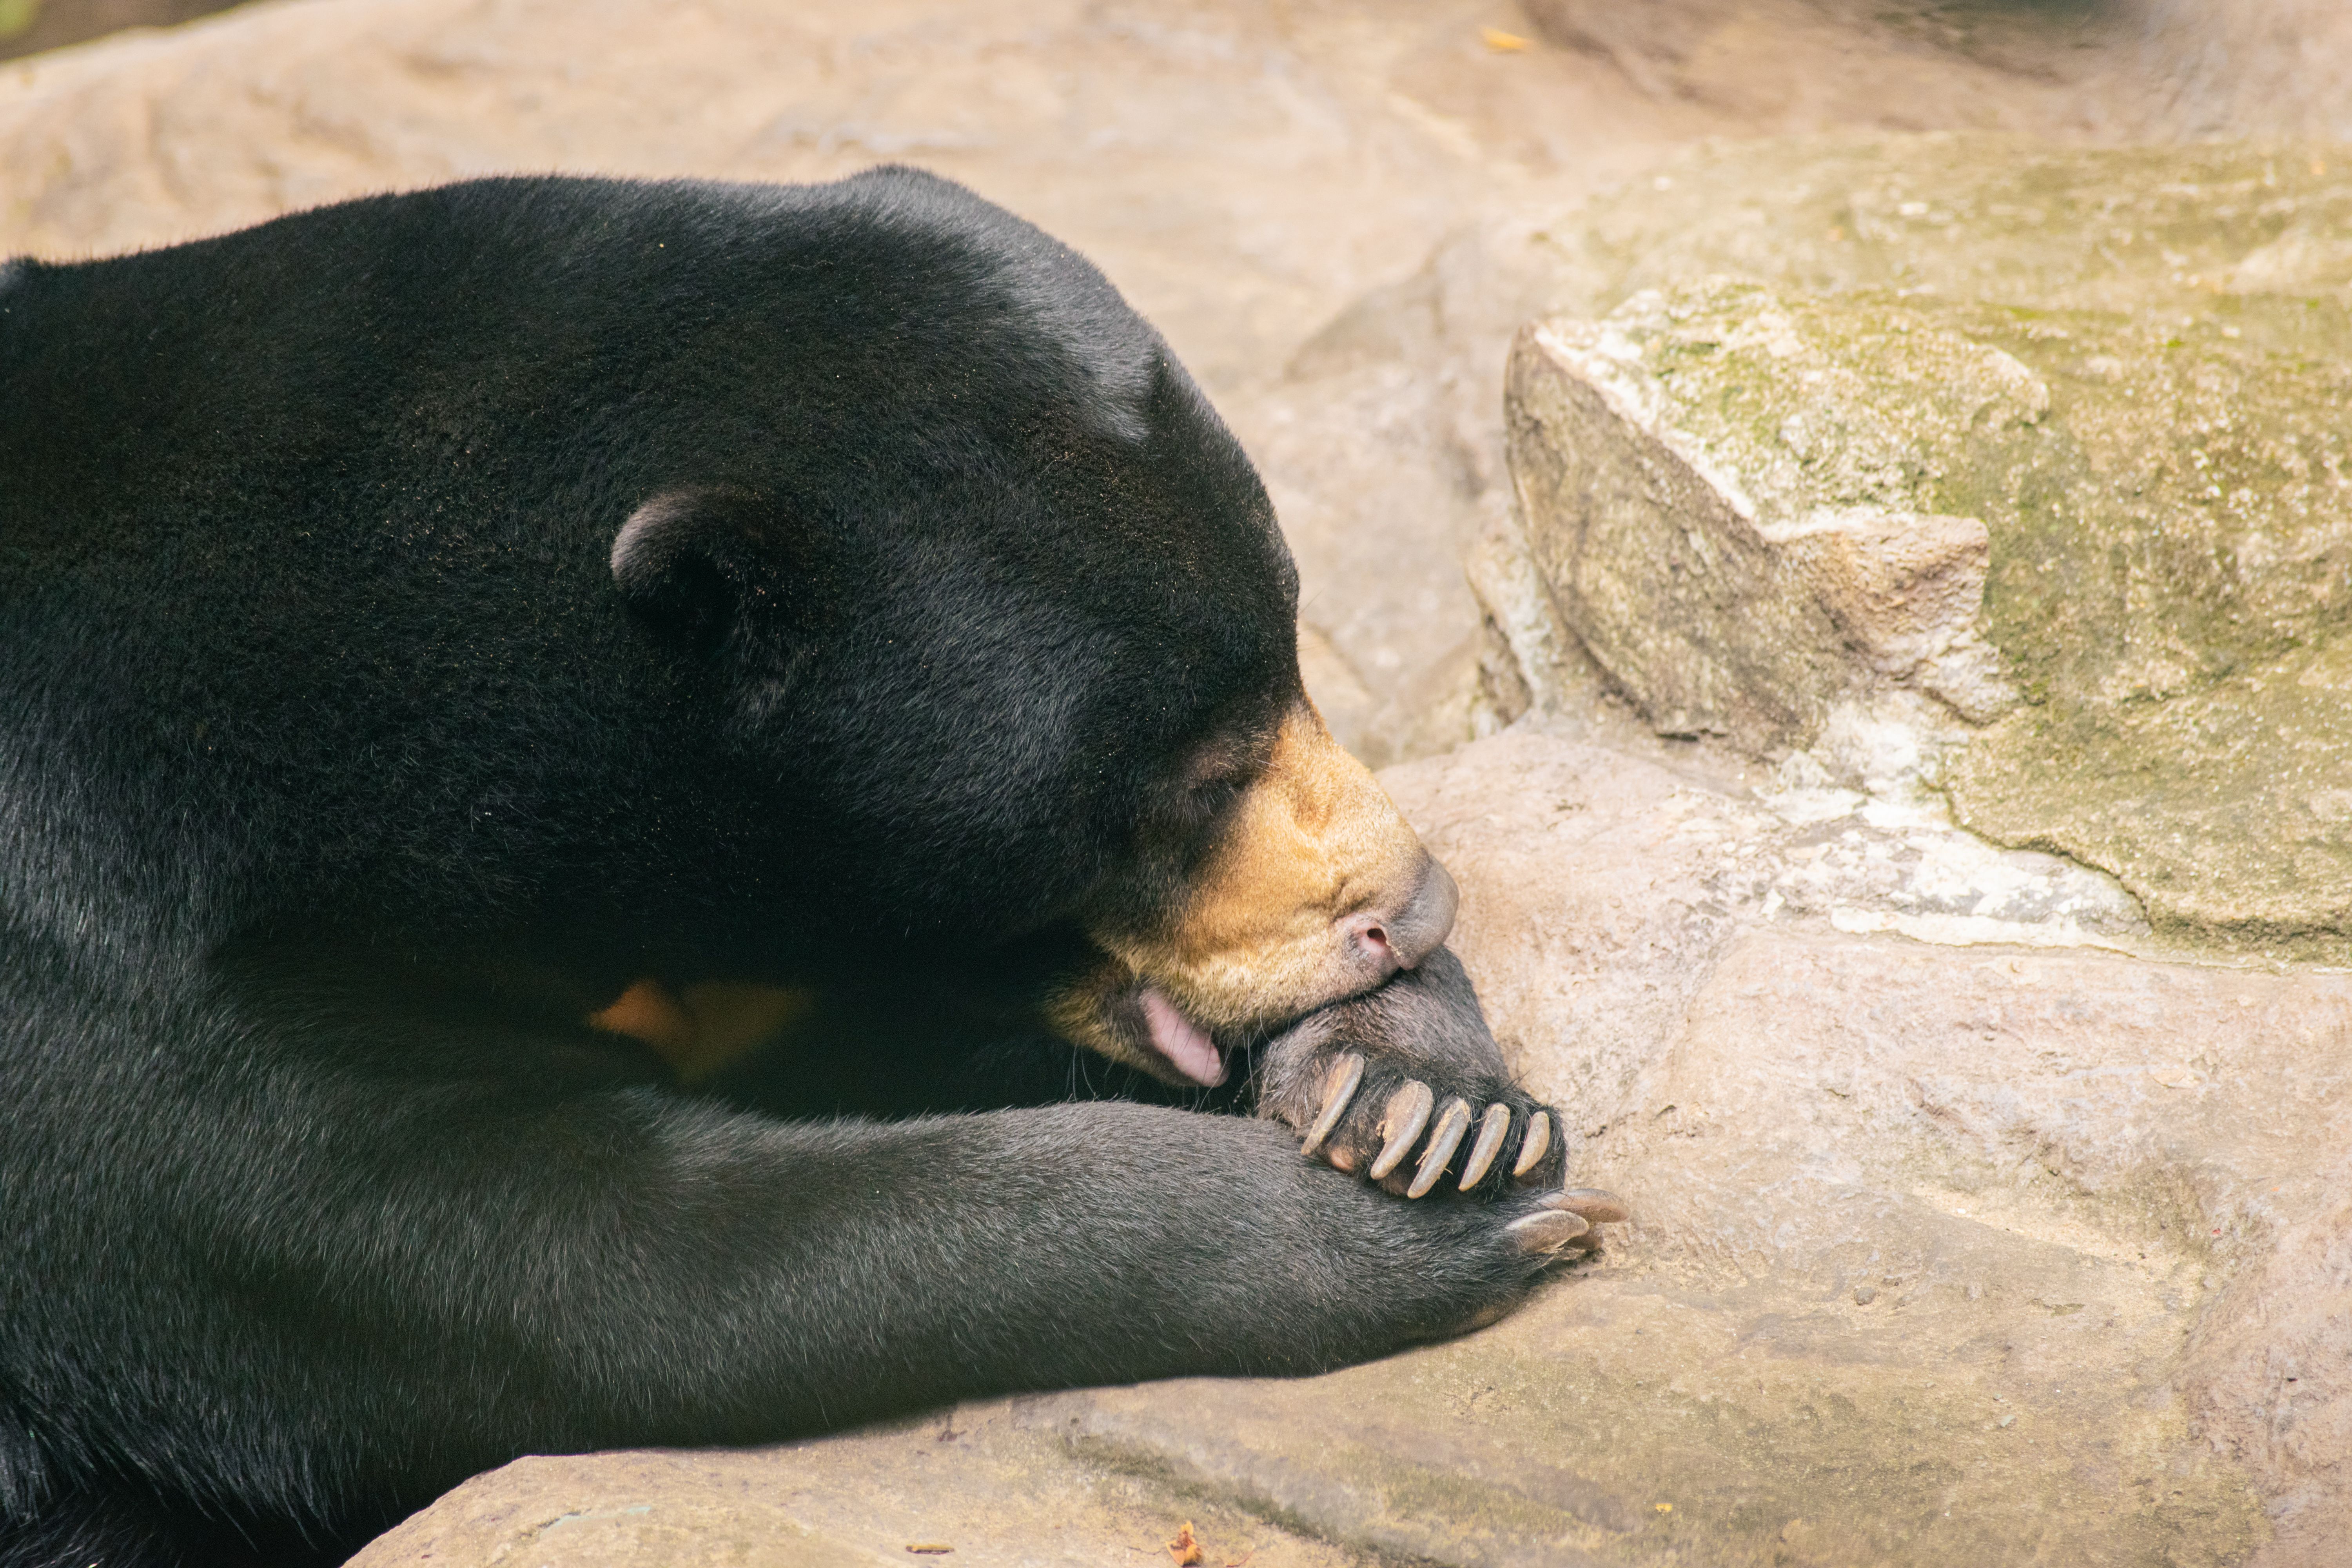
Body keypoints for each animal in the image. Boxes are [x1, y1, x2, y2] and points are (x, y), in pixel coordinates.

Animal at [0, 168, 1614, 1568]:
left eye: (1288, 662)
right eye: (1188, 769)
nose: (1413, 906)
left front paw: (1419, 1105)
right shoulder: (126, 982)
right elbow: (577, 1265)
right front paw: (1429, 1231)